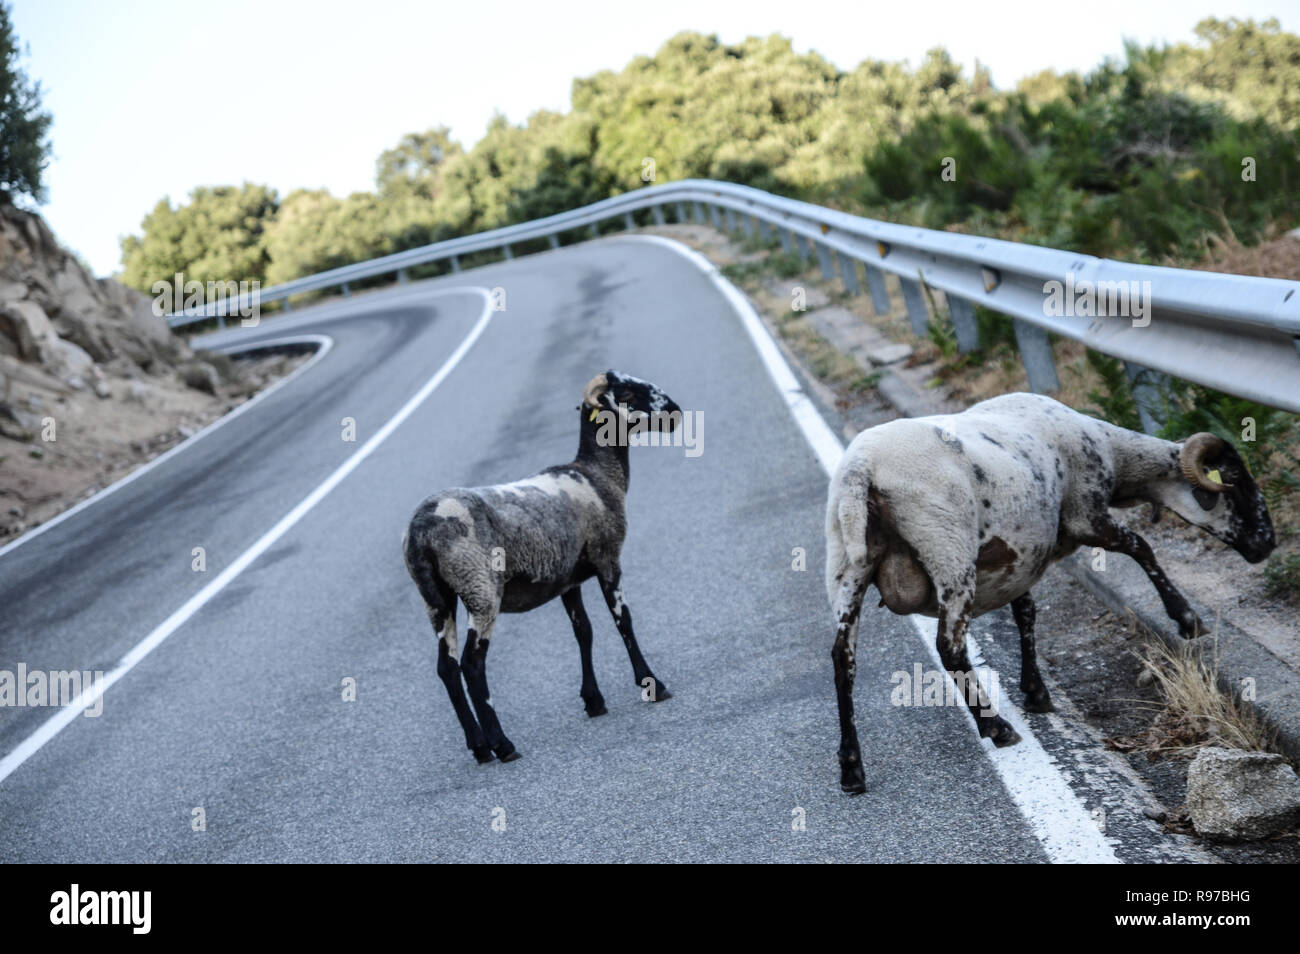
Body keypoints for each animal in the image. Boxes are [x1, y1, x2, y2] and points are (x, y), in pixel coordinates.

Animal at [403, 371, 681, 764]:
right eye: (626, 392)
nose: (675, 411)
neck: (597, 475)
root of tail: (421, 532)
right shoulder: (607, 557)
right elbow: (622, 622)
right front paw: (652, 684)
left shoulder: (568, 579)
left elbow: (584, 632)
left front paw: (593, 700)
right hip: (480, 588)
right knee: (472, 665)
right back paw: (502, 745)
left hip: (437, 600)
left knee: (447, 667)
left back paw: (479, 747)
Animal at [825, 391, 1275, 794]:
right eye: (1235, 482)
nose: (1267, 544)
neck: (1113, 451)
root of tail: (861, 471)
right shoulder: (1086, 515)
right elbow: (1140, 546)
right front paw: (1186, 619)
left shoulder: (1020, 557)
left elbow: (1026, 612)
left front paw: (1035, 691)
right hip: (948, 550)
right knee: (949, 648)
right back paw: (995, 727)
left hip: (847, 567)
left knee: (843, 659)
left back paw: (851, 769)